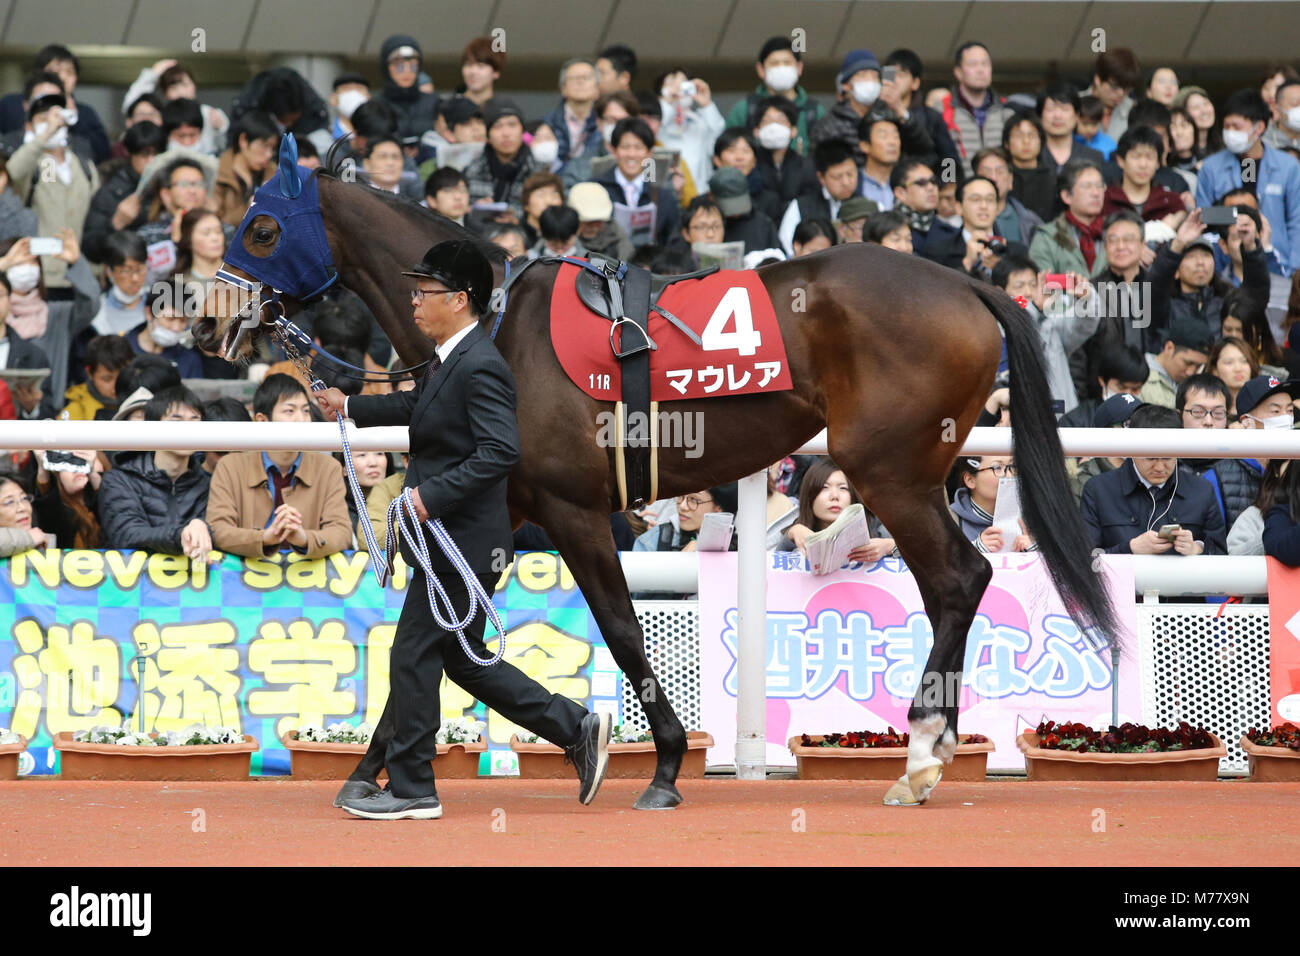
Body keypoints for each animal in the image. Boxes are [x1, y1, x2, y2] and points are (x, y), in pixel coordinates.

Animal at [196, 143, 1117, 810]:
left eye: (262, 230)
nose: (204, 322)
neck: (495, 327)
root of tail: (966, 284)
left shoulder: (571, 509)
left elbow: (618, 629)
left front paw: (663, 766)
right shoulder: (503, 511)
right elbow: (434, 639)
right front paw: (374, 768)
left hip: (889, 471)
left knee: (959, 579)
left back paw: (922, 754)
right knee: (953, 582)